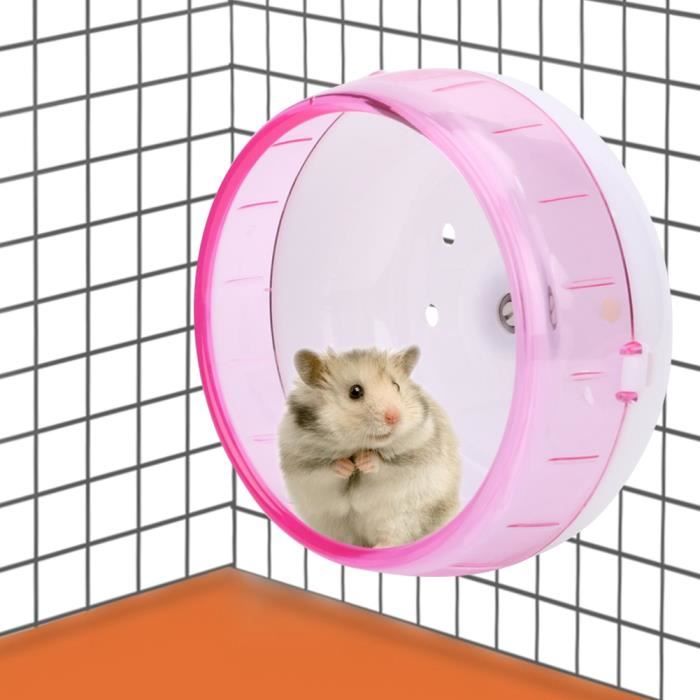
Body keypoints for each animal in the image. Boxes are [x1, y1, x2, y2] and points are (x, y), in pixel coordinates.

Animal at [278, 346, 461, 548]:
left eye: (396, 386)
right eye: (355, 391)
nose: (394, 417)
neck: (358, 446)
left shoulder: (413, 456)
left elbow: (384, 465)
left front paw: (363, 462)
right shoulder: (304, 464)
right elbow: (327, 469)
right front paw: (347, 466)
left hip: (403, 518)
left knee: (393, 538)